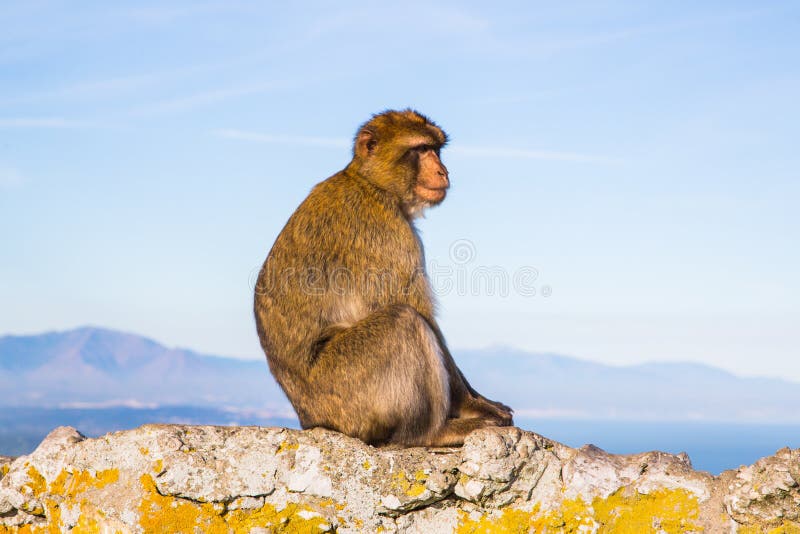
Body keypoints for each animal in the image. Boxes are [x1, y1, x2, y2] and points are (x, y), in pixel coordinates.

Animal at [254, 109, 513, 447]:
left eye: (436, 150)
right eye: (421, 150)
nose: (443, 171)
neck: (370, 182)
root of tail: (311, 419)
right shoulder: (386, 232)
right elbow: (418, 313)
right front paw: (473, 406)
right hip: (349, 390)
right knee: (402, 322)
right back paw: (432, 432)